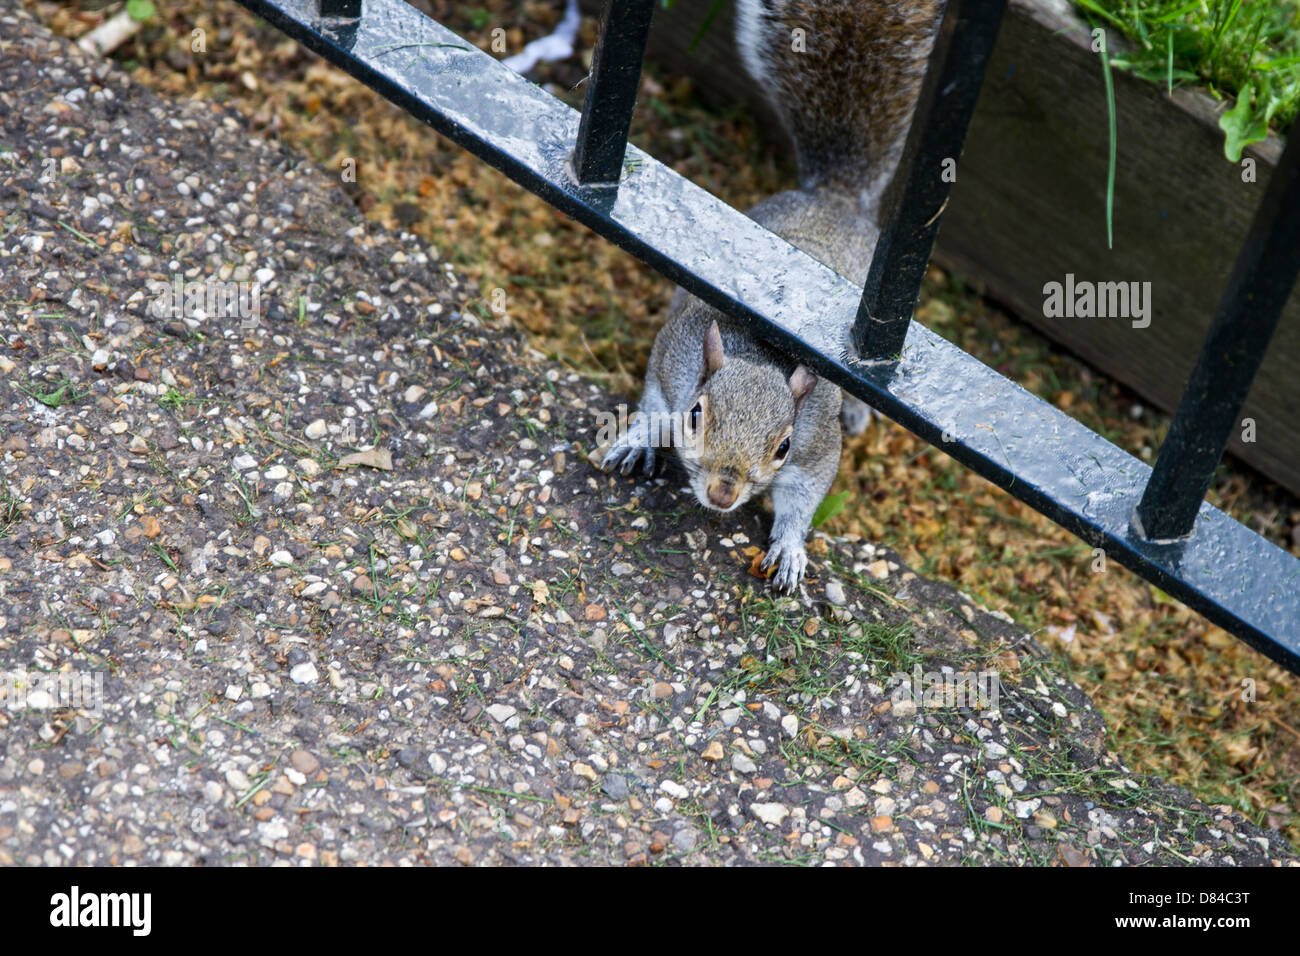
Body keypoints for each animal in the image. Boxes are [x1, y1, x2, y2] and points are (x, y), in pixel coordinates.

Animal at [601, 0, 944, 591]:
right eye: (695, 415)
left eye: (782, 446)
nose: (723, 492)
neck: (758, 354)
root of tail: (832, 201)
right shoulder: (672, 362)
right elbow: (651, 403)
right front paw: (639, 436)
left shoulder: (814, 446)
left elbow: (804, 497)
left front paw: (787, 546)